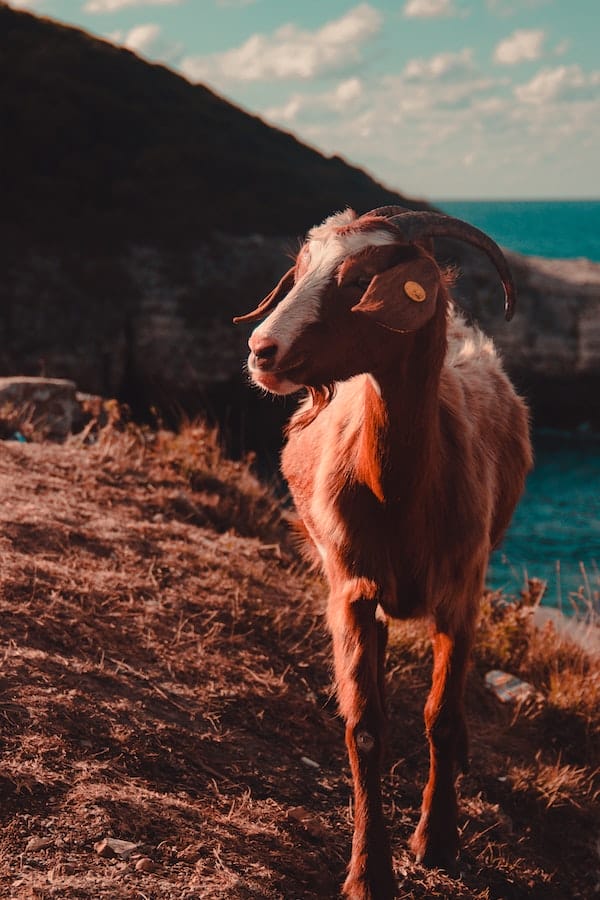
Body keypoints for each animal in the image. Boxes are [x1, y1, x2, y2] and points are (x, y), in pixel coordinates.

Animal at [234, 206, 532, 899]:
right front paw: (369, 872)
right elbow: (365, 728)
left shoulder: (462, 590)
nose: (262, 351)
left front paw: (437, 840)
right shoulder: (350, 591)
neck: (399, 494)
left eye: (358, 282)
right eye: (299, 270)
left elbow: (441, 716)